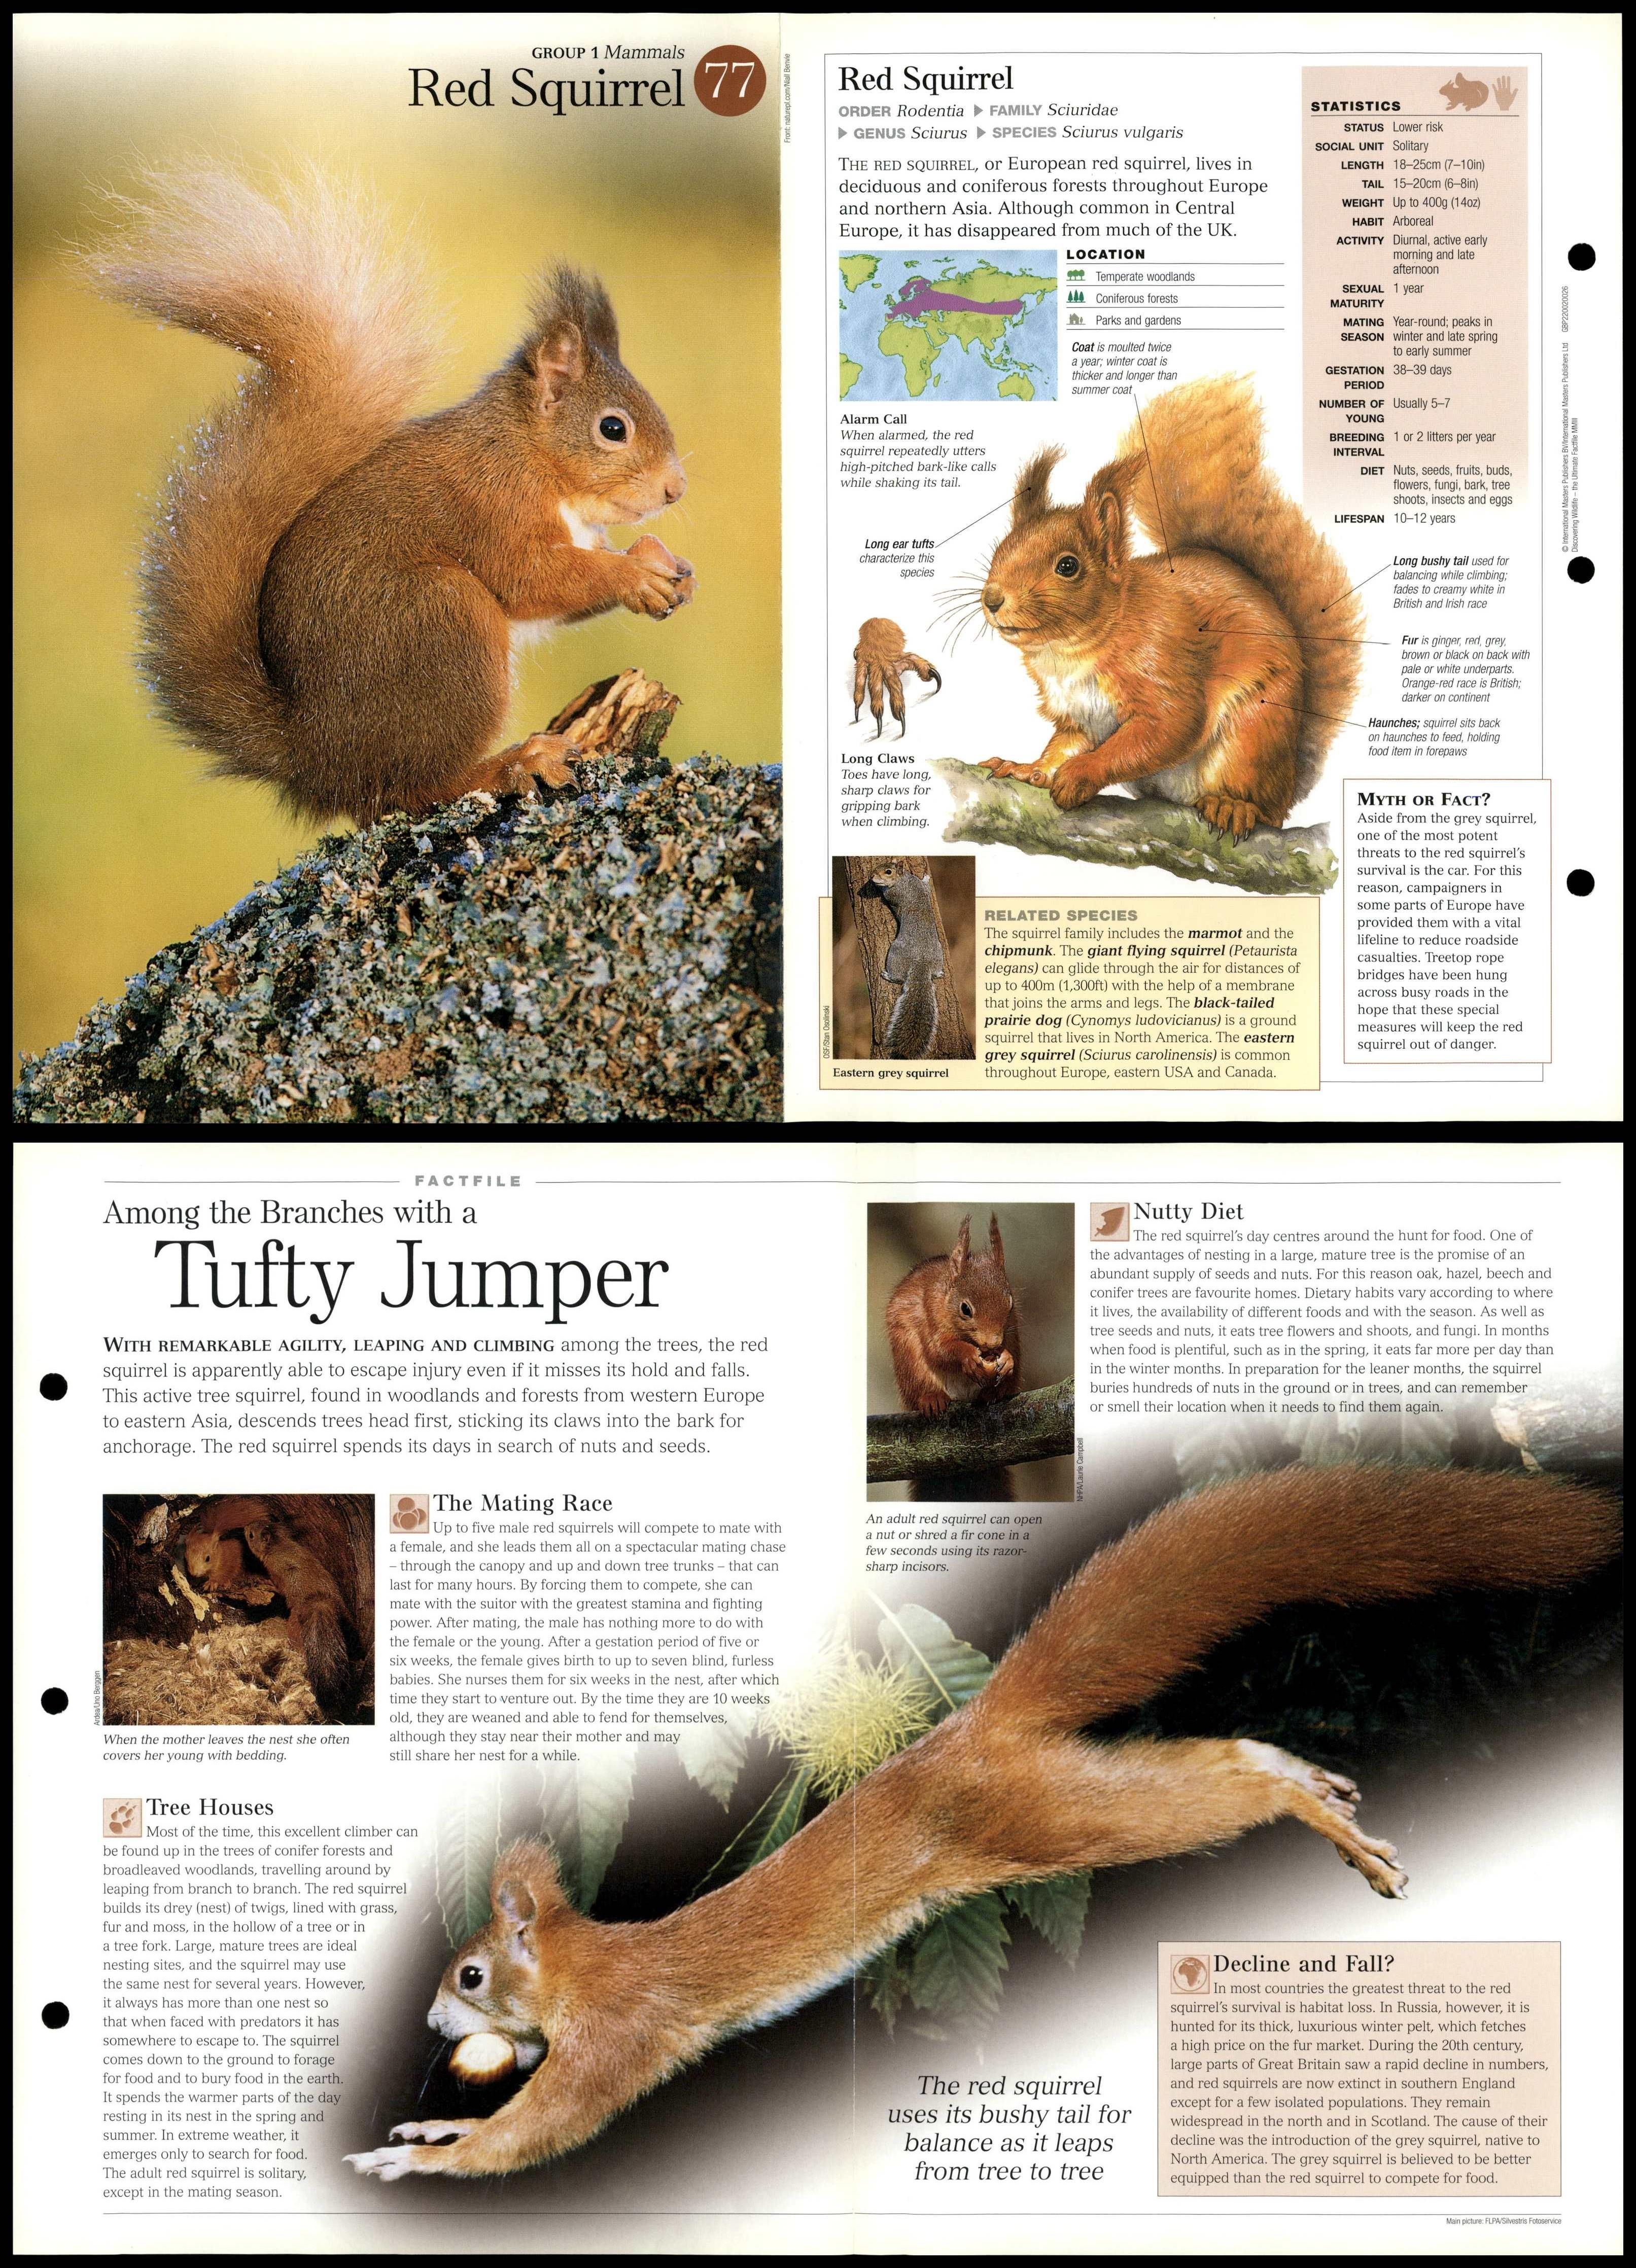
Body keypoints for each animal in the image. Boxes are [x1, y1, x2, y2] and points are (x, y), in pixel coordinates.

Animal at [86, 164, 693, 825]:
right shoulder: (492, 505)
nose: (676, 488)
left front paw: (662, 563)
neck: (531, 453)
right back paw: (514, 763)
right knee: (409, 787)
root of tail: (316, 756)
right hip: (442, 622)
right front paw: (634, 574)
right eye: (613, 428)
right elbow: (531, 579)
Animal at [347, 1462, 1617, 2181]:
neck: (581, 1967)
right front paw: (424, 2134)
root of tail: (974, 1728)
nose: (428, 2021)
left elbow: (546, 2126)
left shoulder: (617, 2034)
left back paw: (1317, 1811)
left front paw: (420, 2156)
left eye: (468, 1974)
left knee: (1215, 1788)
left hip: (1053, 1816)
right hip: (1064, 1794)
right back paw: (1302, 1772)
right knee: (1216, 1755)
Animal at [974, 374, 1362, 837]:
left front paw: (1082, 774)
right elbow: (1065, 744)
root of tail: (1288, 781)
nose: (993, 599)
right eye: (1000, 549)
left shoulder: (1162, 663)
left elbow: (1164, 731)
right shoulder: (1080, 713)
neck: (1070, 653)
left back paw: (1234, 805)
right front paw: (1029, 768)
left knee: (1262, 802)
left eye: (1068, 566)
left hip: (1254, 732)